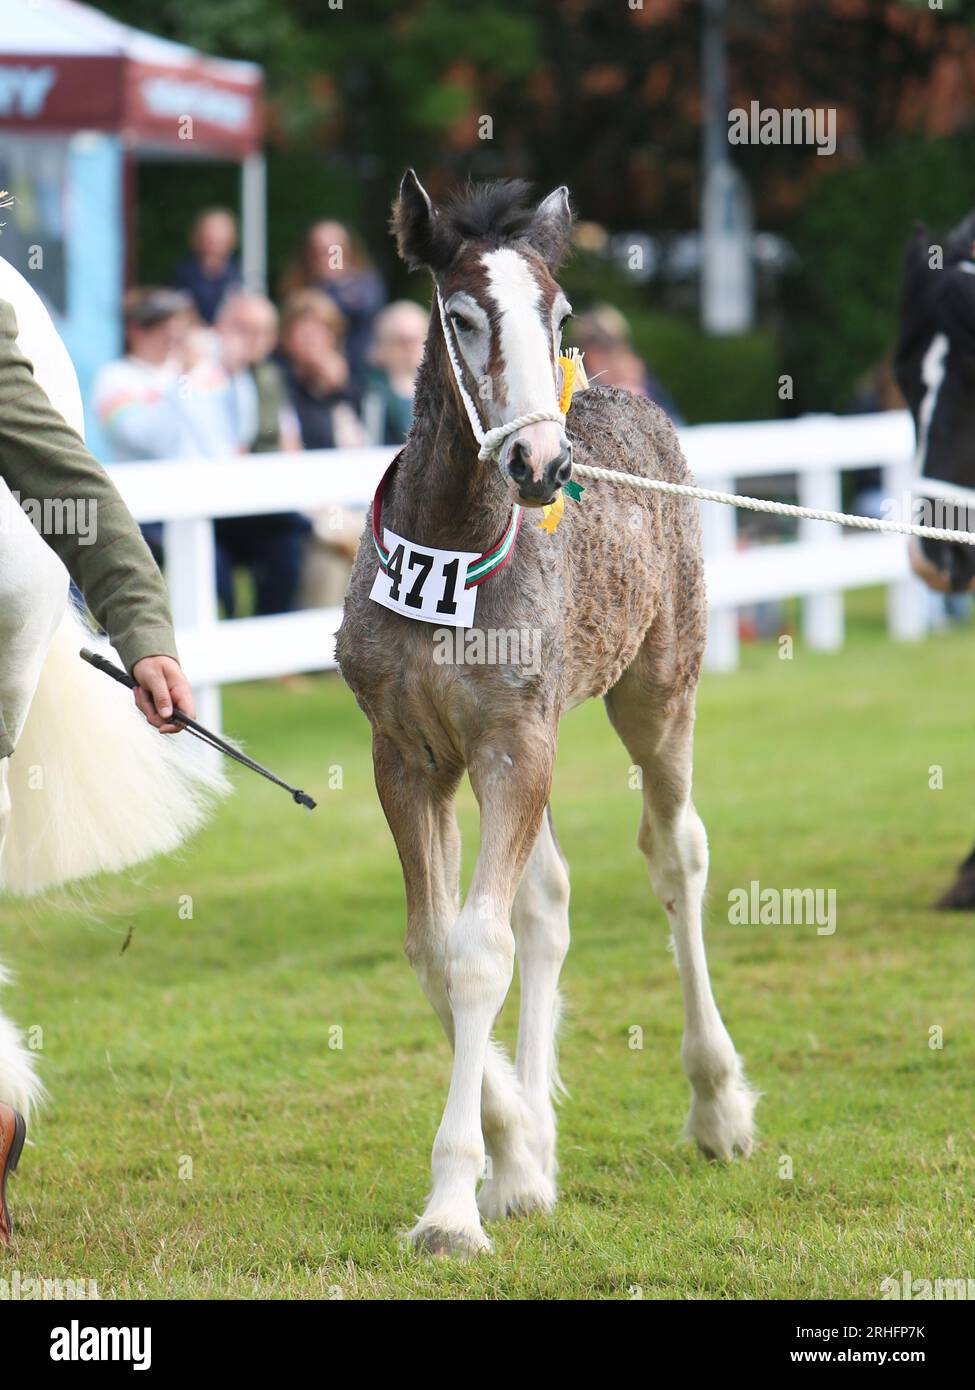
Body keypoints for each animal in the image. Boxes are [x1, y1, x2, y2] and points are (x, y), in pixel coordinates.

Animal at [336, 173, 757, 1258]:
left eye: (560, 317)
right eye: (461, 314)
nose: (536, 459)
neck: (455, 544)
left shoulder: (514, 744)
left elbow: (478, 953)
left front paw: (453, 1204)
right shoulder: (411, 756)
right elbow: (437, 949)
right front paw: (517, 1153)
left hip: (660, 689)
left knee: (675, 853)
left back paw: (717, 1105)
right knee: (549, 903)